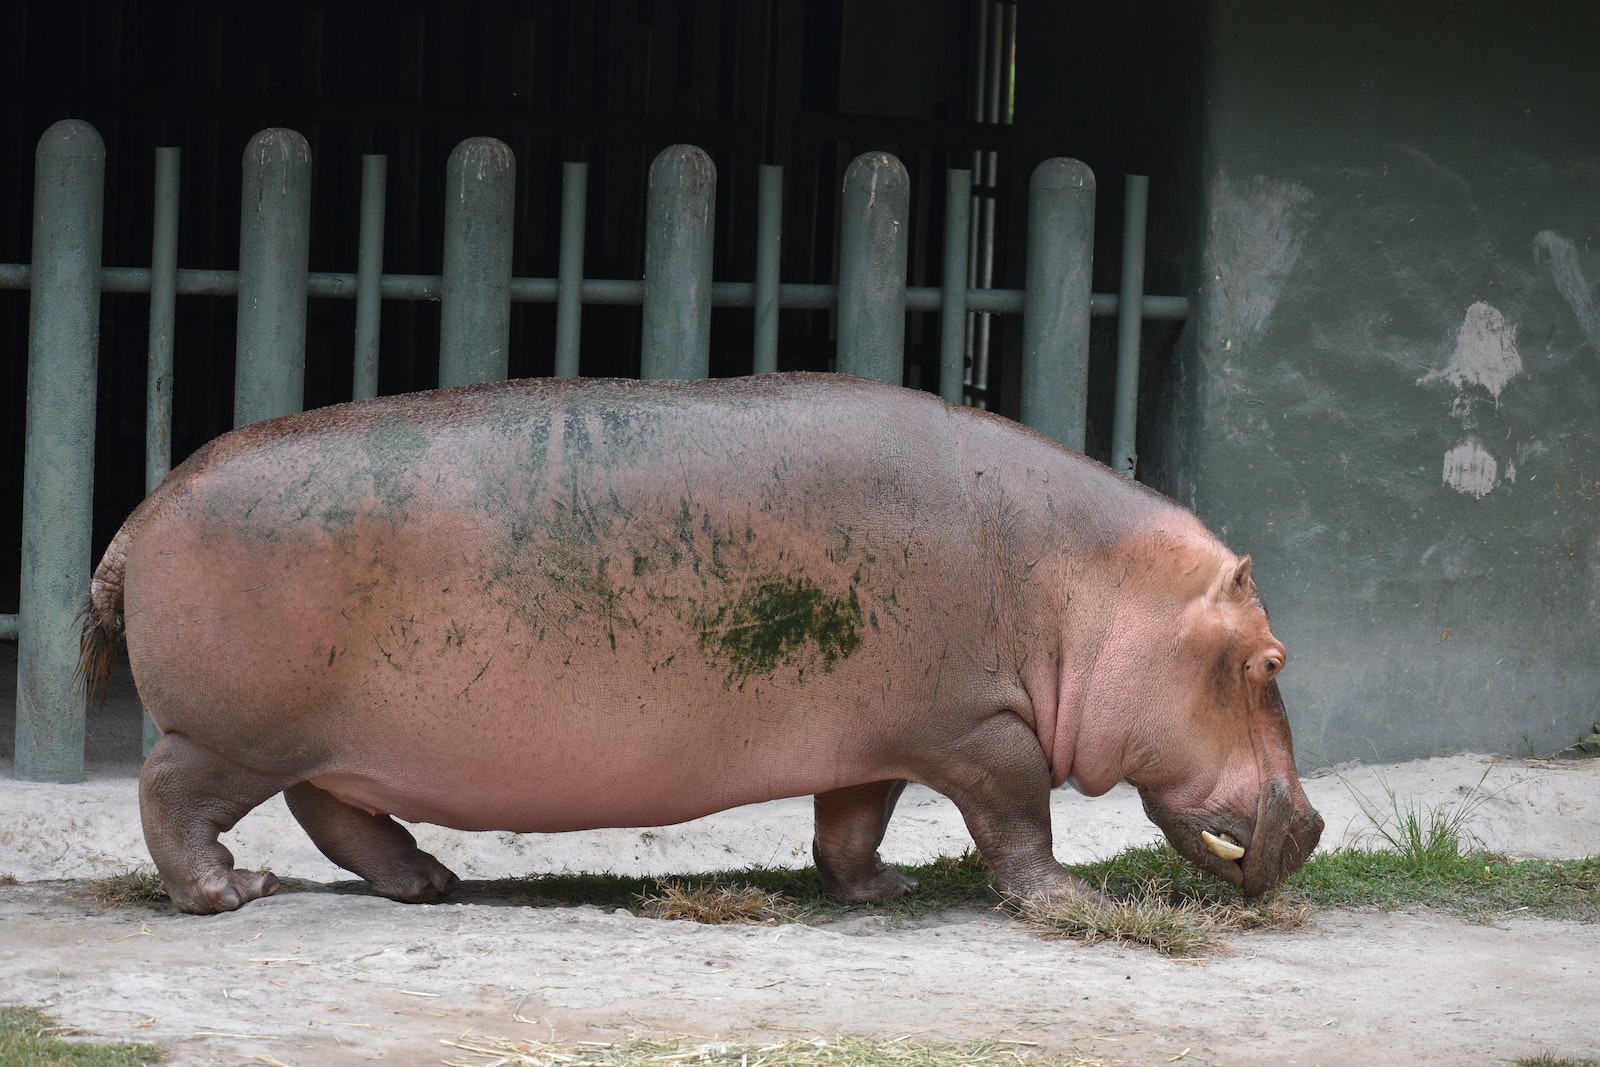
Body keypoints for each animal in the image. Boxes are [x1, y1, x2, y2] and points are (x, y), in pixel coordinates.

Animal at [80, 373, 1322, 915]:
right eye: (1271, 661)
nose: (1311, 823)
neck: (1092, 586)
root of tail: (140, 511)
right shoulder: (981, 725)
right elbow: (1021, 820)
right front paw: (1070, 903)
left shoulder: (878, 727)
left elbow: (852, 818)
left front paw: (876, 887)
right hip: (231, 732)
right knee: (169, 794)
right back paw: (229, 890)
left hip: (323, 737)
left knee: (337, 811)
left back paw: (429, 880)